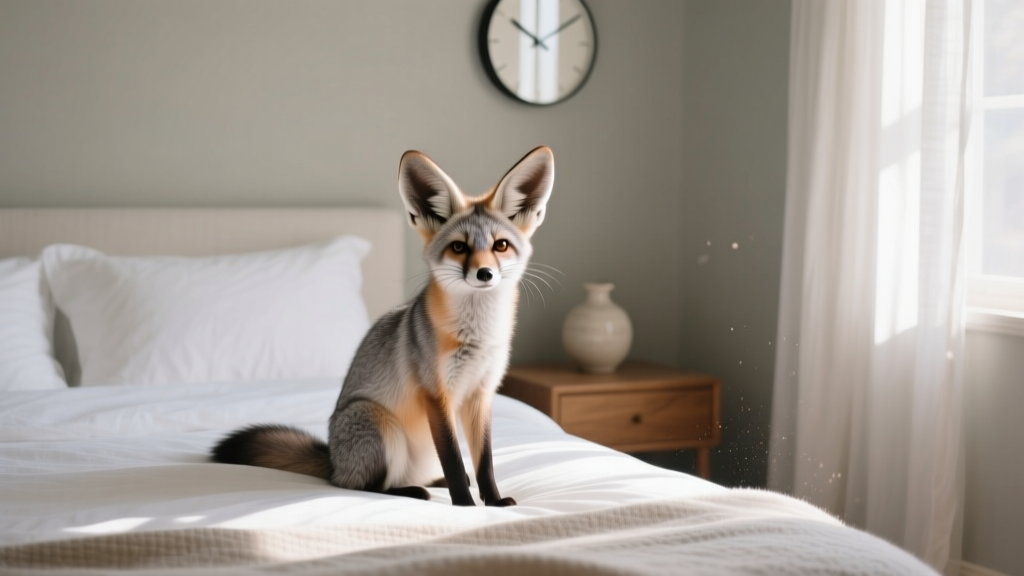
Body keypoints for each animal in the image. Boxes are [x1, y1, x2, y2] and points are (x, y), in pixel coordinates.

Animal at [211, 146, 555, 507]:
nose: (485, 274)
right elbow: (453, 458)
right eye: (459, 247)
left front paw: (493, 501)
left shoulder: (481, 394)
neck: (475, 337)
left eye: (500, 245)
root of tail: (332, 460)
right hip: (378, 424)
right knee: (363, 486)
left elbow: (483, 462)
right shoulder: (436, 394)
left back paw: (433, 483)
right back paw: (412, 491)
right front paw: (464, 505)